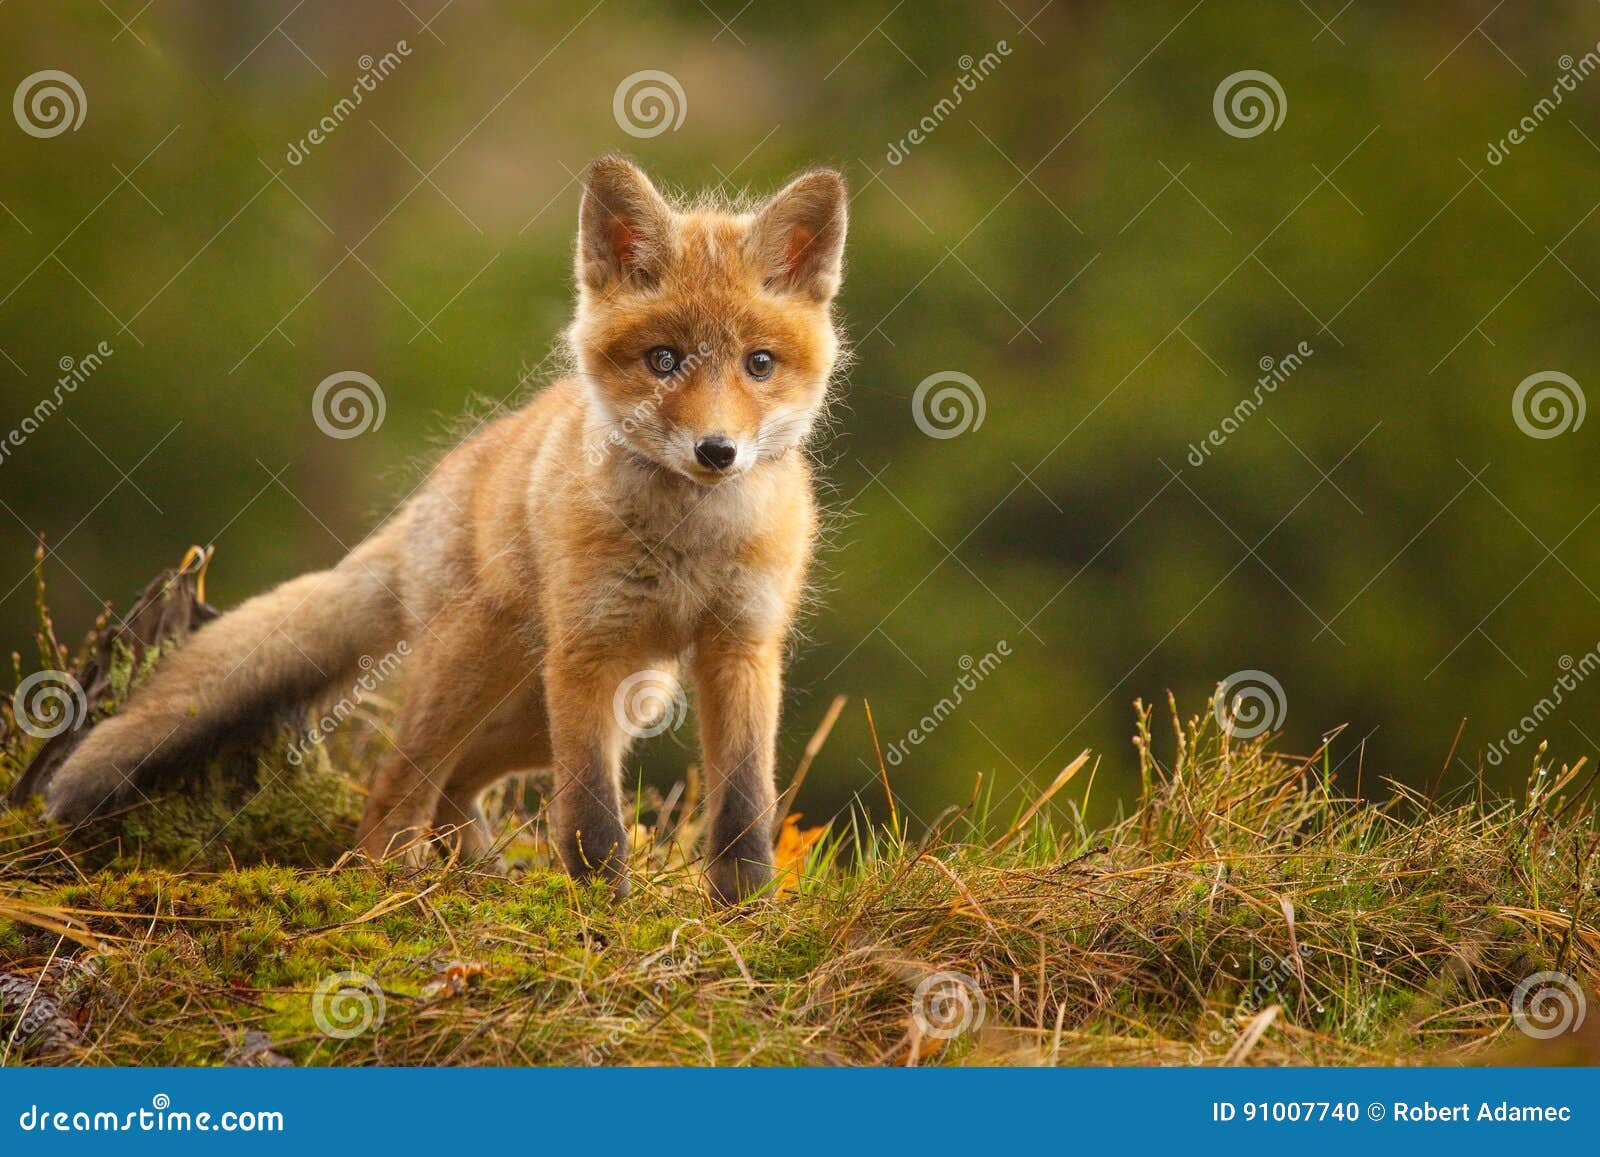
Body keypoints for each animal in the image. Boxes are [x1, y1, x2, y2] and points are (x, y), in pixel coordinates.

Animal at [38, 155, 849, 903]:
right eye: (664, 360)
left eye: (759, 363)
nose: (717, 451)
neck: (691, 539)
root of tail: (433, 494)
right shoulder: (586, 654)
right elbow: (592, 815)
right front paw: (601, 909)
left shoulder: (741, 646)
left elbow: (744, 801)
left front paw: (746, 908)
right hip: (481, 666)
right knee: (396, 782)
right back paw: (392, 881)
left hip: (592, 700)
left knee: (455, 783)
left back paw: (479, 873)